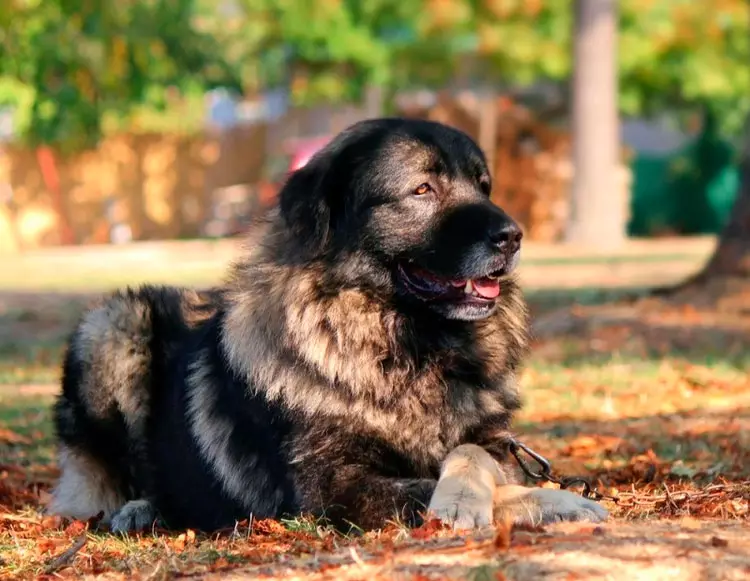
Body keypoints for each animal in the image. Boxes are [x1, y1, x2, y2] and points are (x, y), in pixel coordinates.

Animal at [48, 119, 612, 536]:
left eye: (483, 187)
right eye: (423, 189)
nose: (512, 236)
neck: (402, 346)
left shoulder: (495, 443)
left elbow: (470, 452)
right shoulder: (336, 486)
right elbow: (424, 488)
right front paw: (548, 500)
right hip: (111, 326)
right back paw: (141, 509)